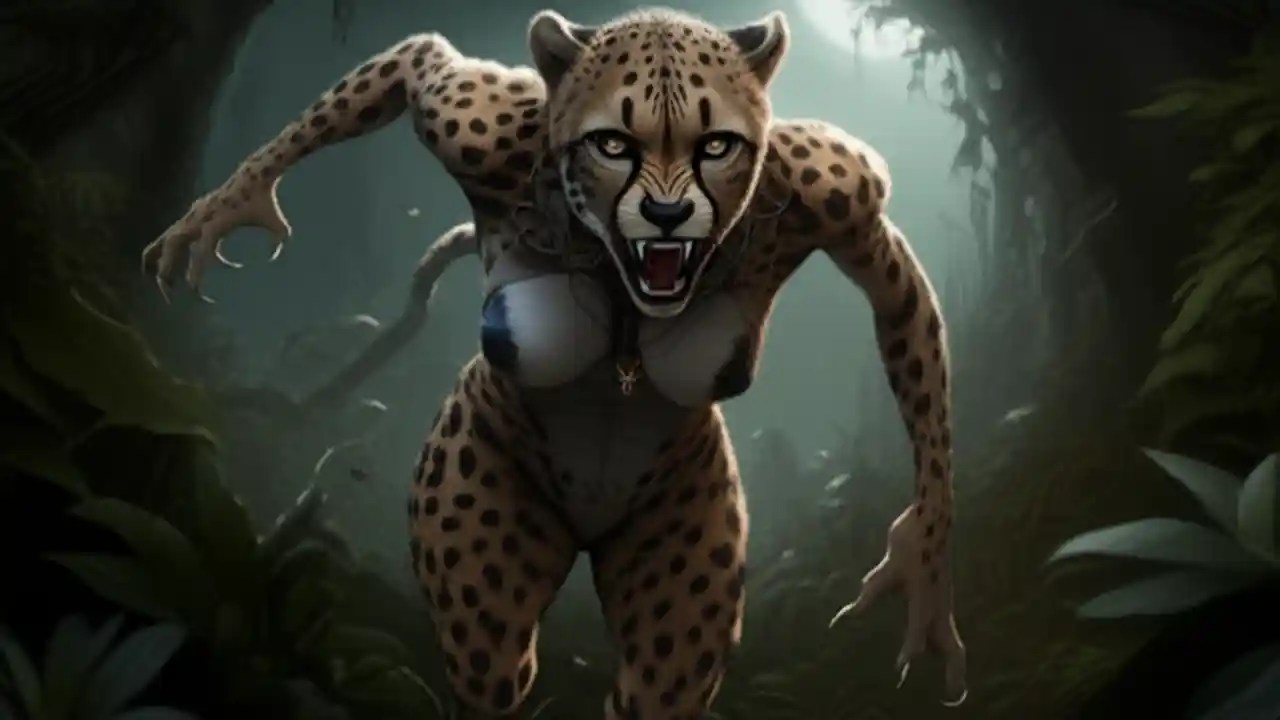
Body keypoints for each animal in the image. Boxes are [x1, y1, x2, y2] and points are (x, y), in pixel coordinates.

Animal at [142, 8, 967, 718]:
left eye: (716, 145)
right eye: (614, 144)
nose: (667, 215)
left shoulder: (835, 193)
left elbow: (901, 301)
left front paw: (922, 562)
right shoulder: (469, 122)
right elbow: (419, 58)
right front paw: (227, 203)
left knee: (656, 683)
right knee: (494, 666)